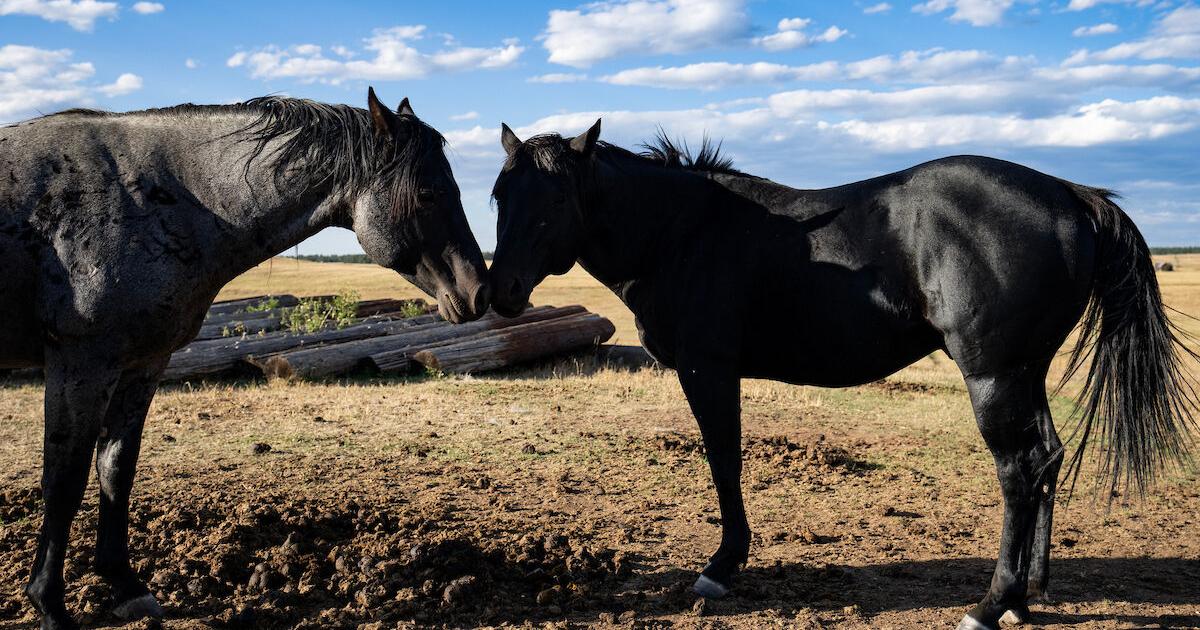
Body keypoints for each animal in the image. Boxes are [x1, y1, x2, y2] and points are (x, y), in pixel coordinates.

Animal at [0, 88, 489, 629]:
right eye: (427, 194)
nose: (480, 293)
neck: (157, 200)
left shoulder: (142, 364)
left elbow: (116, 470)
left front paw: (125, 586)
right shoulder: (82, 366)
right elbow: (63, 483)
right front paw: (50, 605)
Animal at [487, 121, 1196, 630]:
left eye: (556, 199)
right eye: (499, 195)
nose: (502, 292)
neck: (681, 232)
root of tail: (1069, 195)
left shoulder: (707, 368)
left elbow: (724, 460)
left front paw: (722, 567)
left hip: (993, 375)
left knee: (1019, 471)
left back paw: (990, 606)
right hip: (1025, 371)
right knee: (1047, 457)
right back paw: (1025, 598)